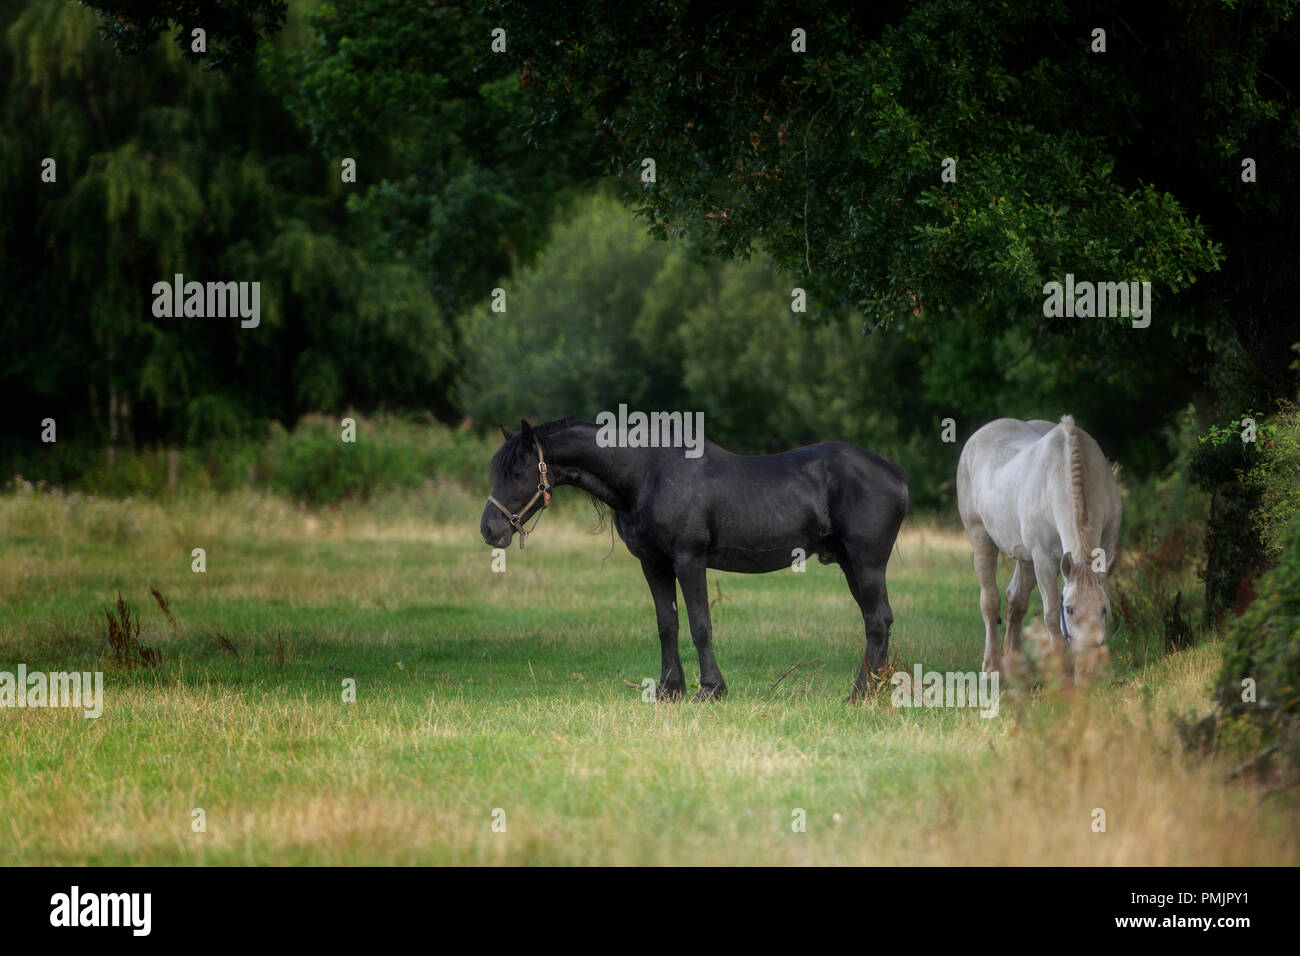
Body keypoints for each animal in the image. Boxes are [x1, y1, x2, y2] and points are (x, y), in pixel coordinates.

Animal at [480, 417, 909, 701]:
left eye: (517, 472)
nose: (489, 529)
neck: (647, 477)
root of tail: (894, 472)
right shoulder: (653, 565)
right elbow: (667, 624)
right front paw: (670, 688)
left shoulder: (689, 561)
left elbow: (701, 625)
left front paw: (711, 689)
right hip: (853, 566)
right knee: (881, 620)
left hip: (866, 564)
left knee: (875, 622)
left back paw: (860, 694)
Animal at [956, 415, 1122, 678]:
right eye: (1070, 609)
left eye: (1103, 609)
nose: (1085, 668)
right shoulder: (1044, 560)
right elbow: (1051, 615)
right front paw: (1060, 673)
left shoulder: (1105, 549)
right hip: (981, 539)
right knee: (990, 602)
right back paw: (992, 666)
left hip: (1026, 559)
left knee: (1016, 601)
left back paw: (1015, 664)